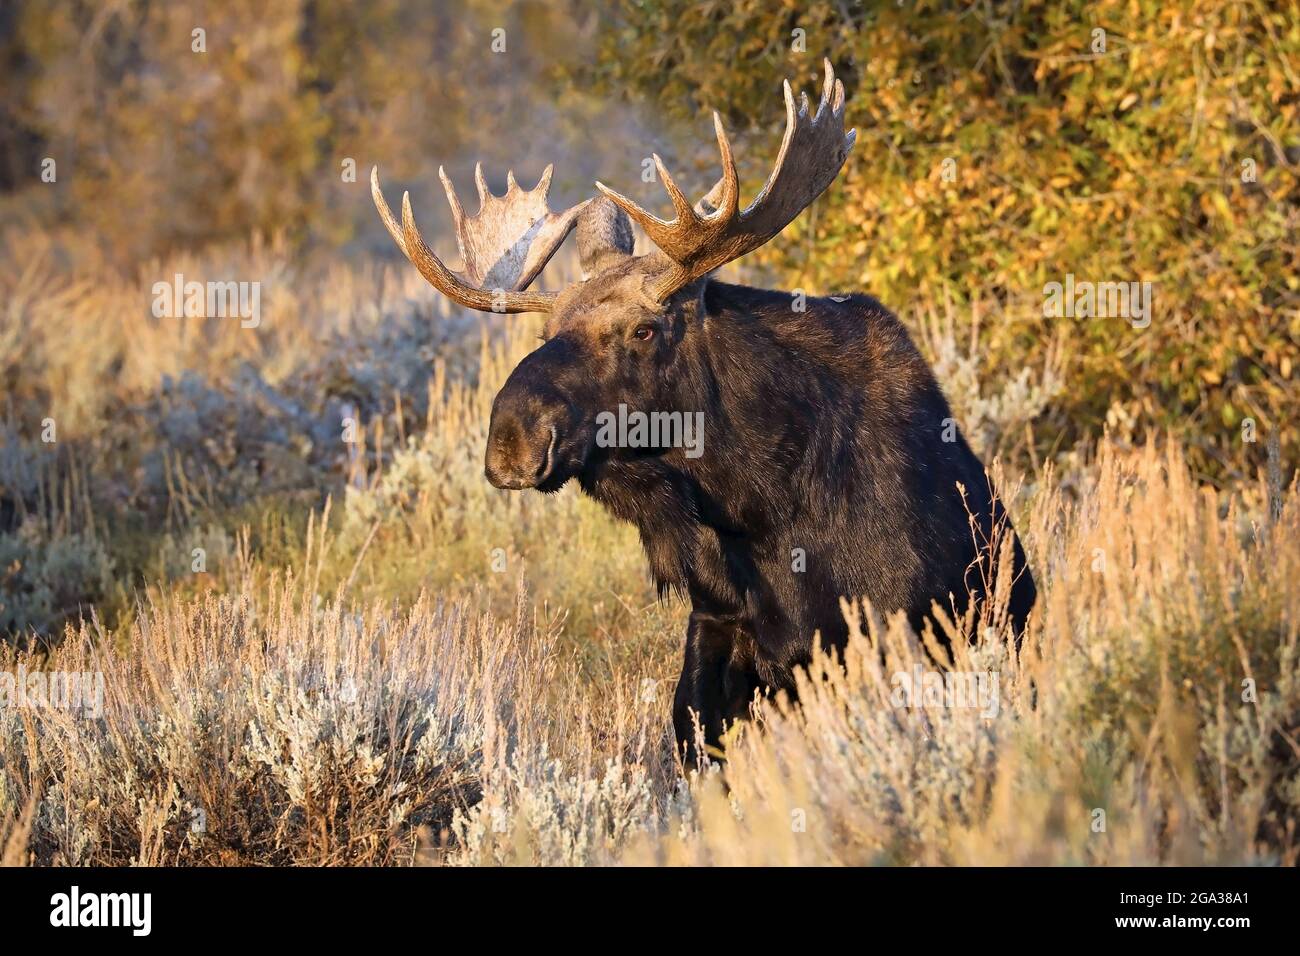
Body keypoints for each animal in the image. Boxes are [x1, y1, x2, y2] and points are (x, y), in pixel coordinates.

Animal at [371, 61, 1037, 762]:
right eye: (546, 331)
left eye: (644, 329)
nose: (512, 438)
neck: (764, 509)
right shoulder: (714, 631)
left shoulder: (896, 629)